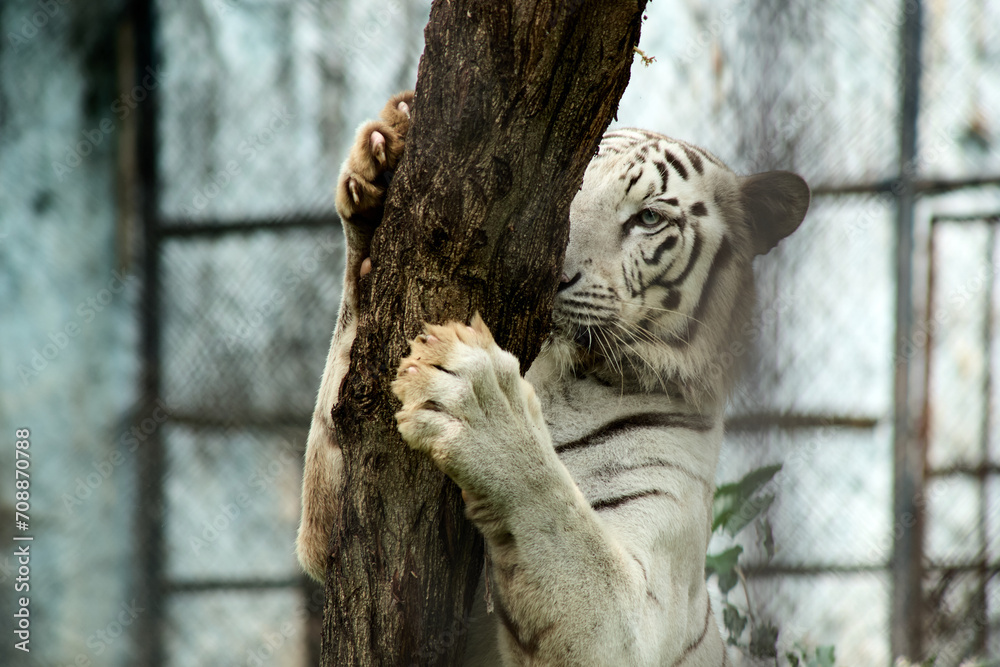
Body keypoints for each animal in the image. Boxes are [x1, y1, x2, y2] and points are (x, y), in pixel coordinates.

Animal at [297, 90, 810, 666]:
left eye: (648, 218)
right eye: (571, 189)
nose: (551, 271)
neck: (559, 375)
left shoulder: (638, 612)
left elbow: (556, 511)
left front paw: (477, 399)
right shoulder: (327, 528)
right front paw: (383, 160)